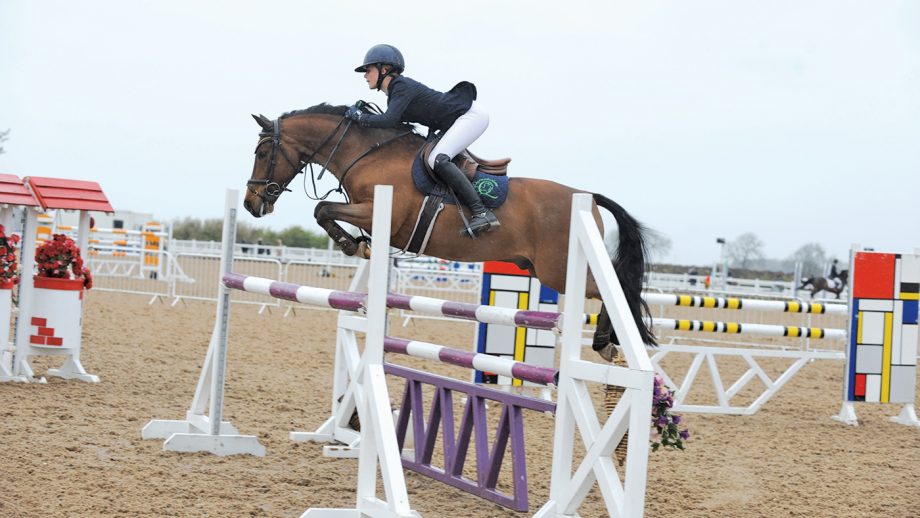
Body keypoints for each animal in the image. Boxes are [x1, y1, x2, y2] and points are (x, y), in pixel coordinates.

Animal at [243, 104, 657, 358]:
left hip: (560, 271)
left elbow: (322, 208)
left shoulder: (380, 212)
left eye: (262, 153)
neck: (369, 153)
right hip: (544, 268)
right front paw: (357, 245)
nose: (250, 203)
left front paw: (351, 244)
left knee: (615, 287)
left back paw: (606, 340)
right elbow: (323, 210)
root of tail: (587, 197)